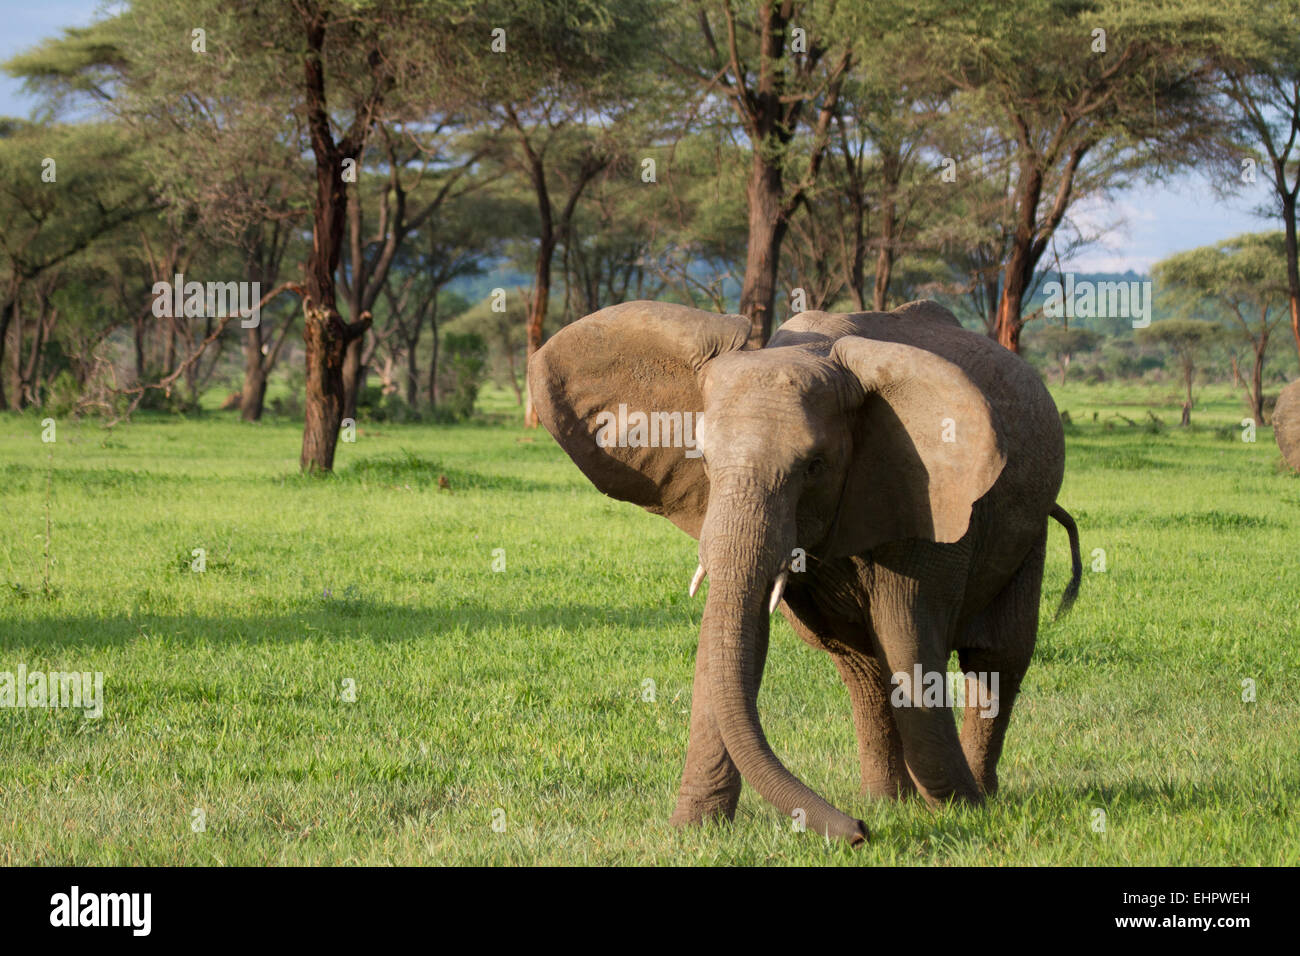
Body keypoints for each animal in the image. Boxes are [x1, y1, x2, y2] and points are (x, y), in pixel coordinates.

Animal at [528, 299, 1082, 844]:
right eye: (702, 460)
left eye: (814, 467)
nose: (856, 833)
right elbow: (743, 639)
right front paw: (695, 832)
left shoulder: (923, 493)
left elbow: (907, 636)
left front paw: (962, 812)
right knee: (860, 664)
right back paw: (888, 802)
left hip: (1030, 524)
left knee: (997, 655)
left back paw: (971, 795)